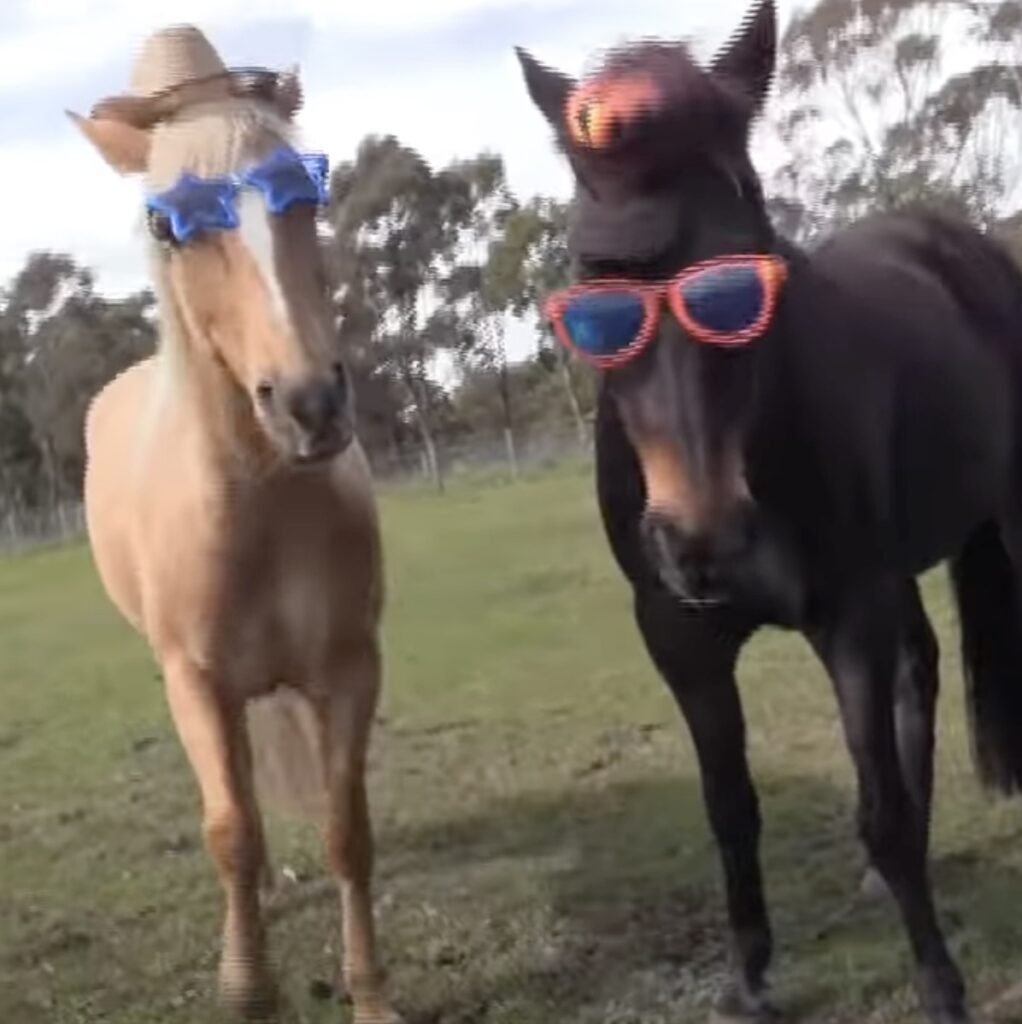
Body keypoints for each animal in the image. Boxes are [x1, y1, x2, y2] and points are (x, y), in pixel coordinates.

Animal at [68, 26, 400, 1023]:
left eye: (308, 189)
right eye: (163, 223)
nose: (310, 404)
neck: (266, 511)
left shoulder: (349, 672)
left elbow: (346, 828)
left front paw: (370, 995)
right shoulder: (196, 684)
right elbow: (230, 834)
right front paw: (247, 987)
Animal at [516, 2, 1022, 1021]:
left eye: (744, 251)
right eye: (592, 277)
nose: (701, 535)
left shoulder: (848, 617)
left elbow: (878, 809)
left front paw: (939, 982)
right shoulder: (682, 639)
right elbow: (731, 810)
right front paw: (750, 977)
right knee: (922, 672)